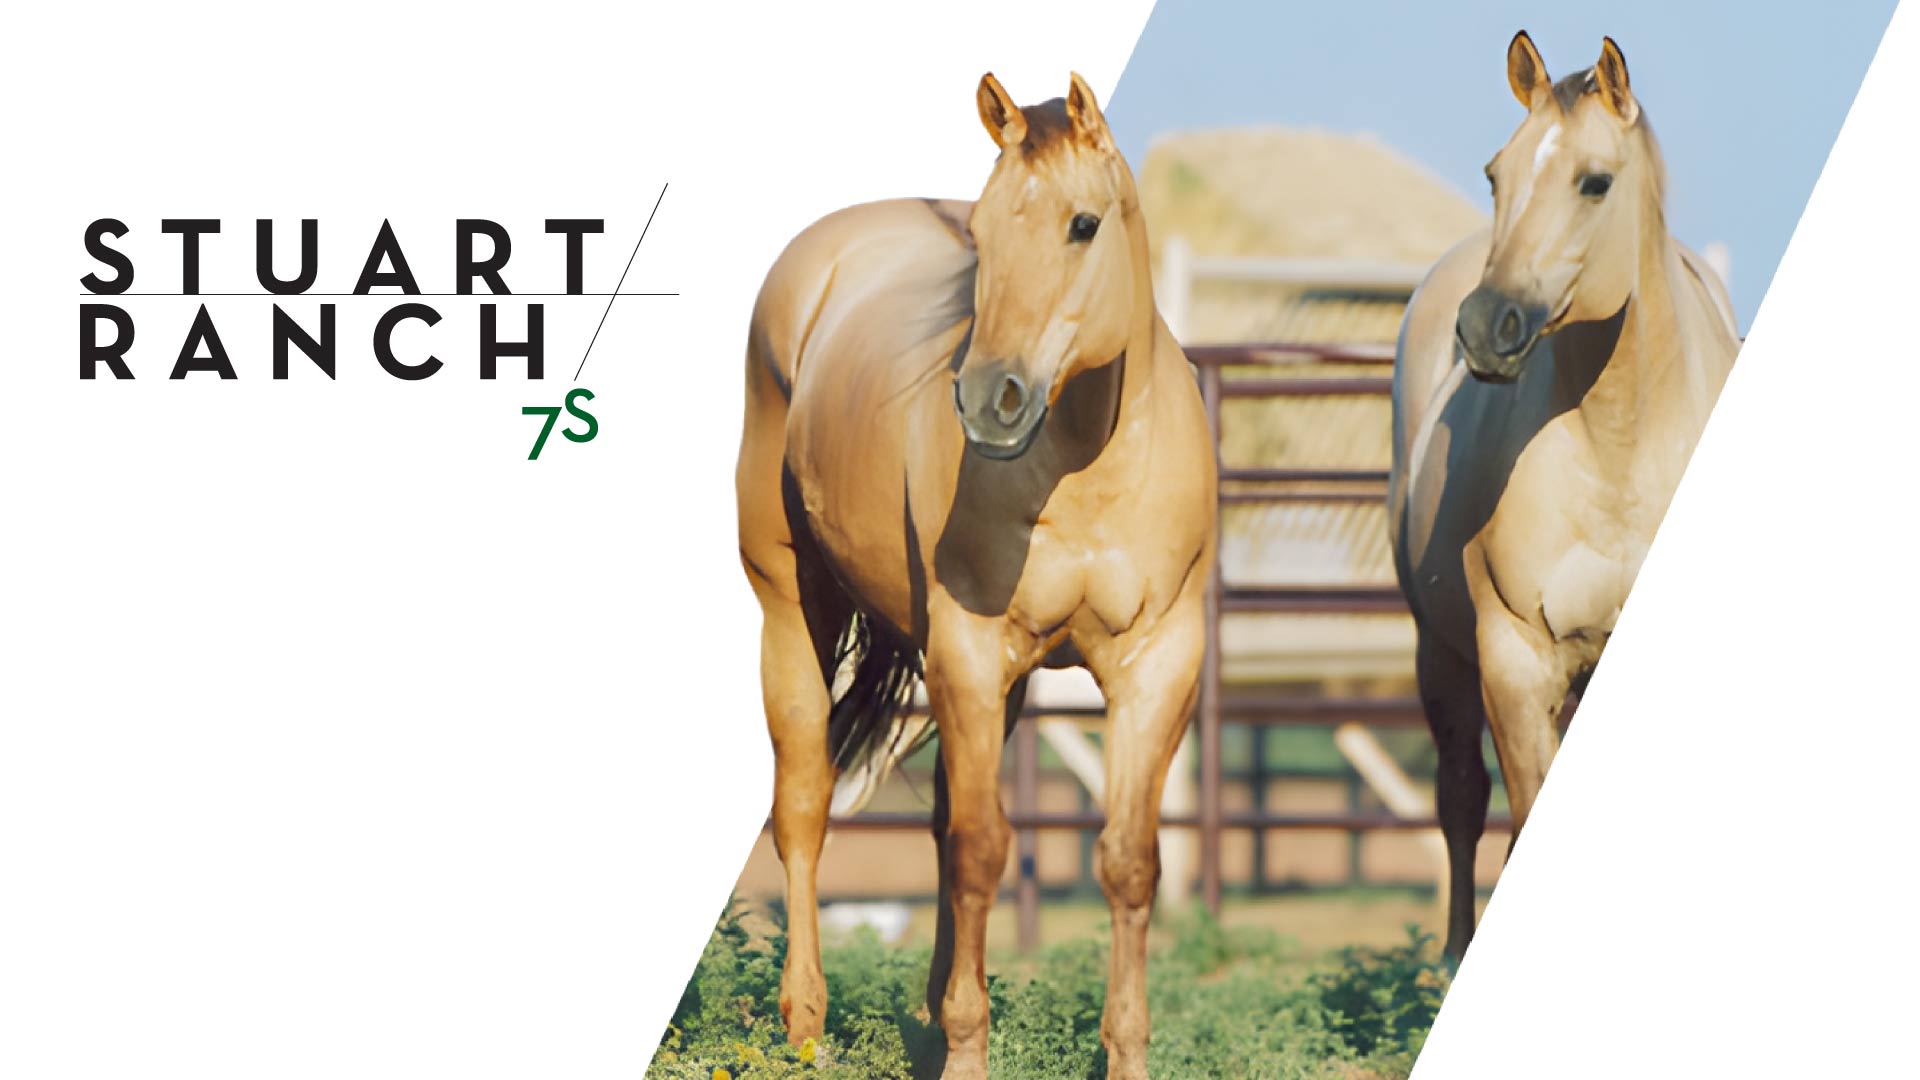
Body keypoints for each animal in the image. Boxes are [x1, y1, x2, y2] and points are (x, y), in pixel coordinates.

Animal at [735, 73, 1216, 1079]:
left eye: (1083, 225)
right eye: (985, 237)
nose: (991, 400)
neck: (1083, 464)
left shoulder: (1159, 665)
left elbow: (1126, 858)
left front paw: (1123, 1052)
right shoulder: (970, 649)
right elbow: (983, 849)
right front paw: (966, 1052)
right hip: (792, 611)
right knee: (803, 809)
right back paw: (806, 1027)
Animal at [1389, 32, 1739, 962]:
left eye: (1594, 181)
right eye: (1495, 173)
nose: (1486, 328)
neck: (1619, 444)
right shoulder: (1516, 659)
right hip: (1442, 655)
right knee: (1461, 798)